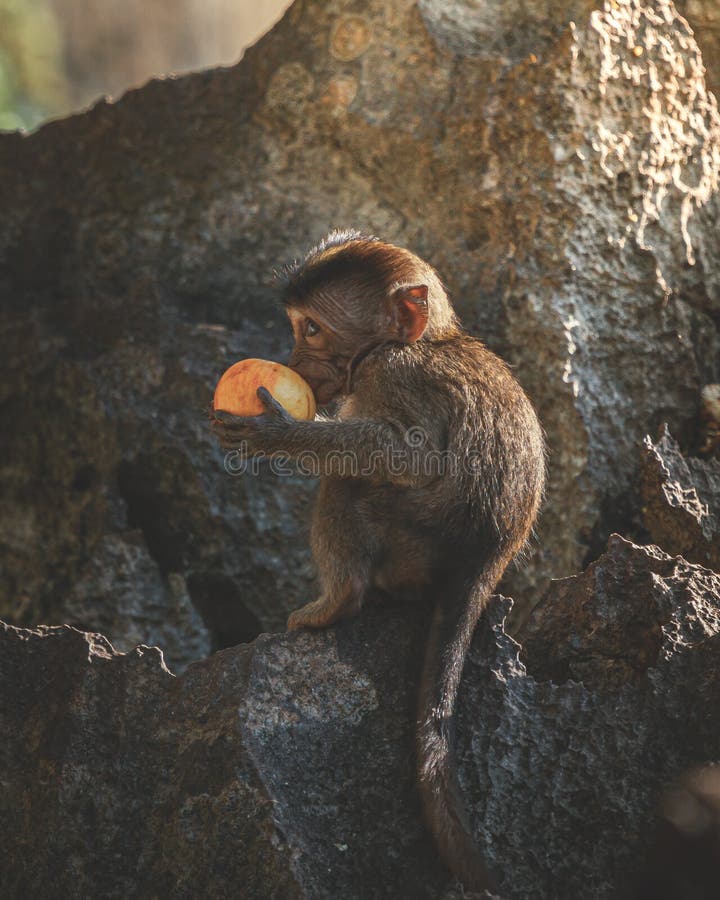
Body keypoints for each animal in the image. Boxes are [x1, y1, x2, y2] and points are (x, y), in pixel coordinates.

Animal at [211, 230, 545, 892]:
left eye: (312, 329)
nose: (293, 356)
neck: (415, 342)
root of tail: (489, 553)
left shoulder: (394, 375)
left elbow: (410, 456)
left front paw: (280, 435)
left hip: (414, 542)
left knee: (347, 484)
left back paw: (337, 605)